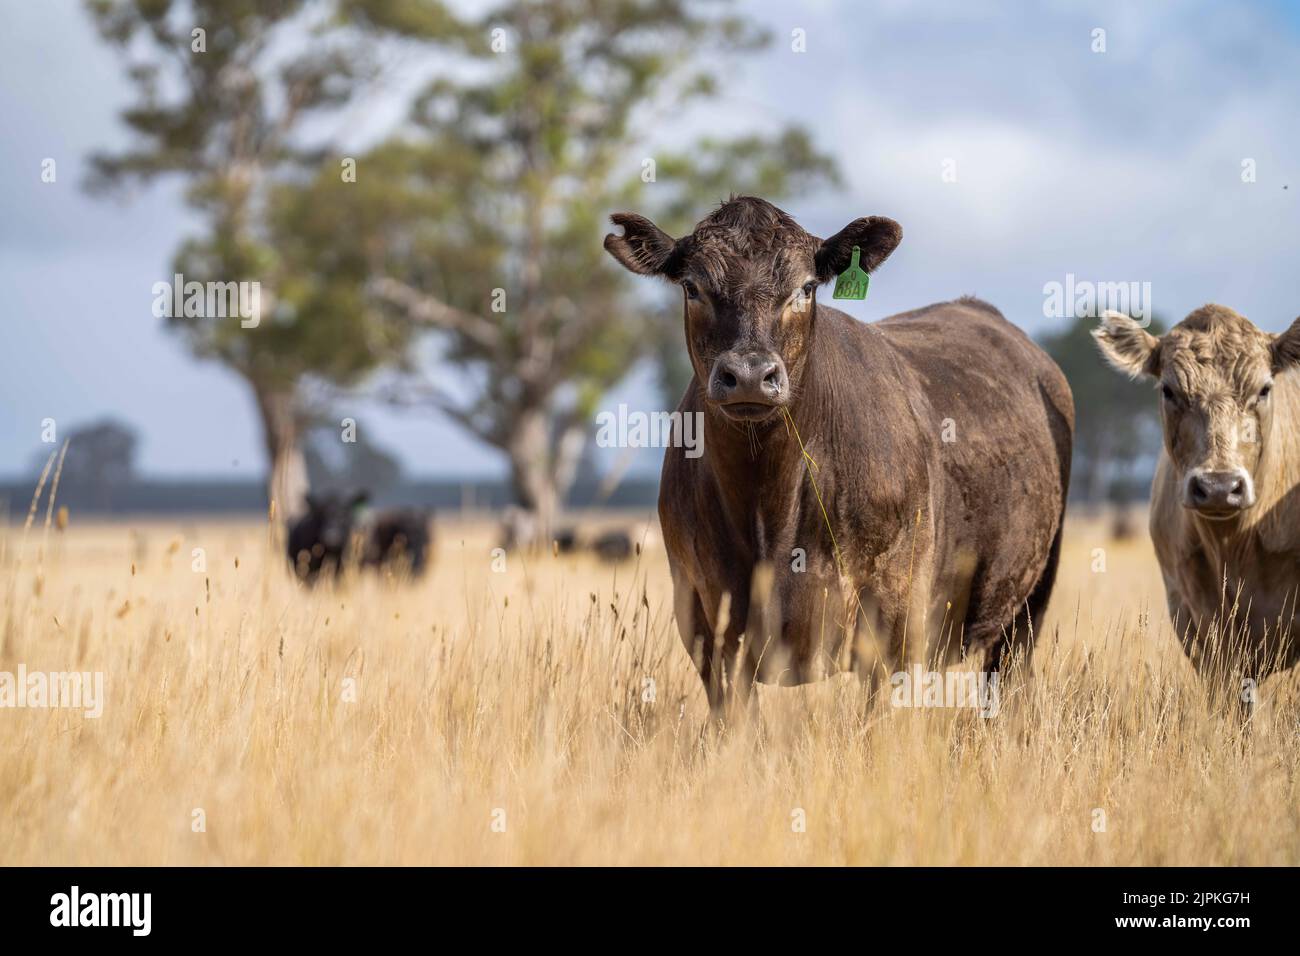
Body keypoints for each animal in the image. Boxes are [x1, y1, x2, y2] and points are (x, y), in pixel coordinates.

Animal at [604, 196, 1074, 714]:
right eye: (692, 287)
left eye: (807, 288)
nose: (749, 375)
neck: (768, 505)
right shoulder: (707, 626)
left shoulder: (895, 620)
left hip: (1026, 609)